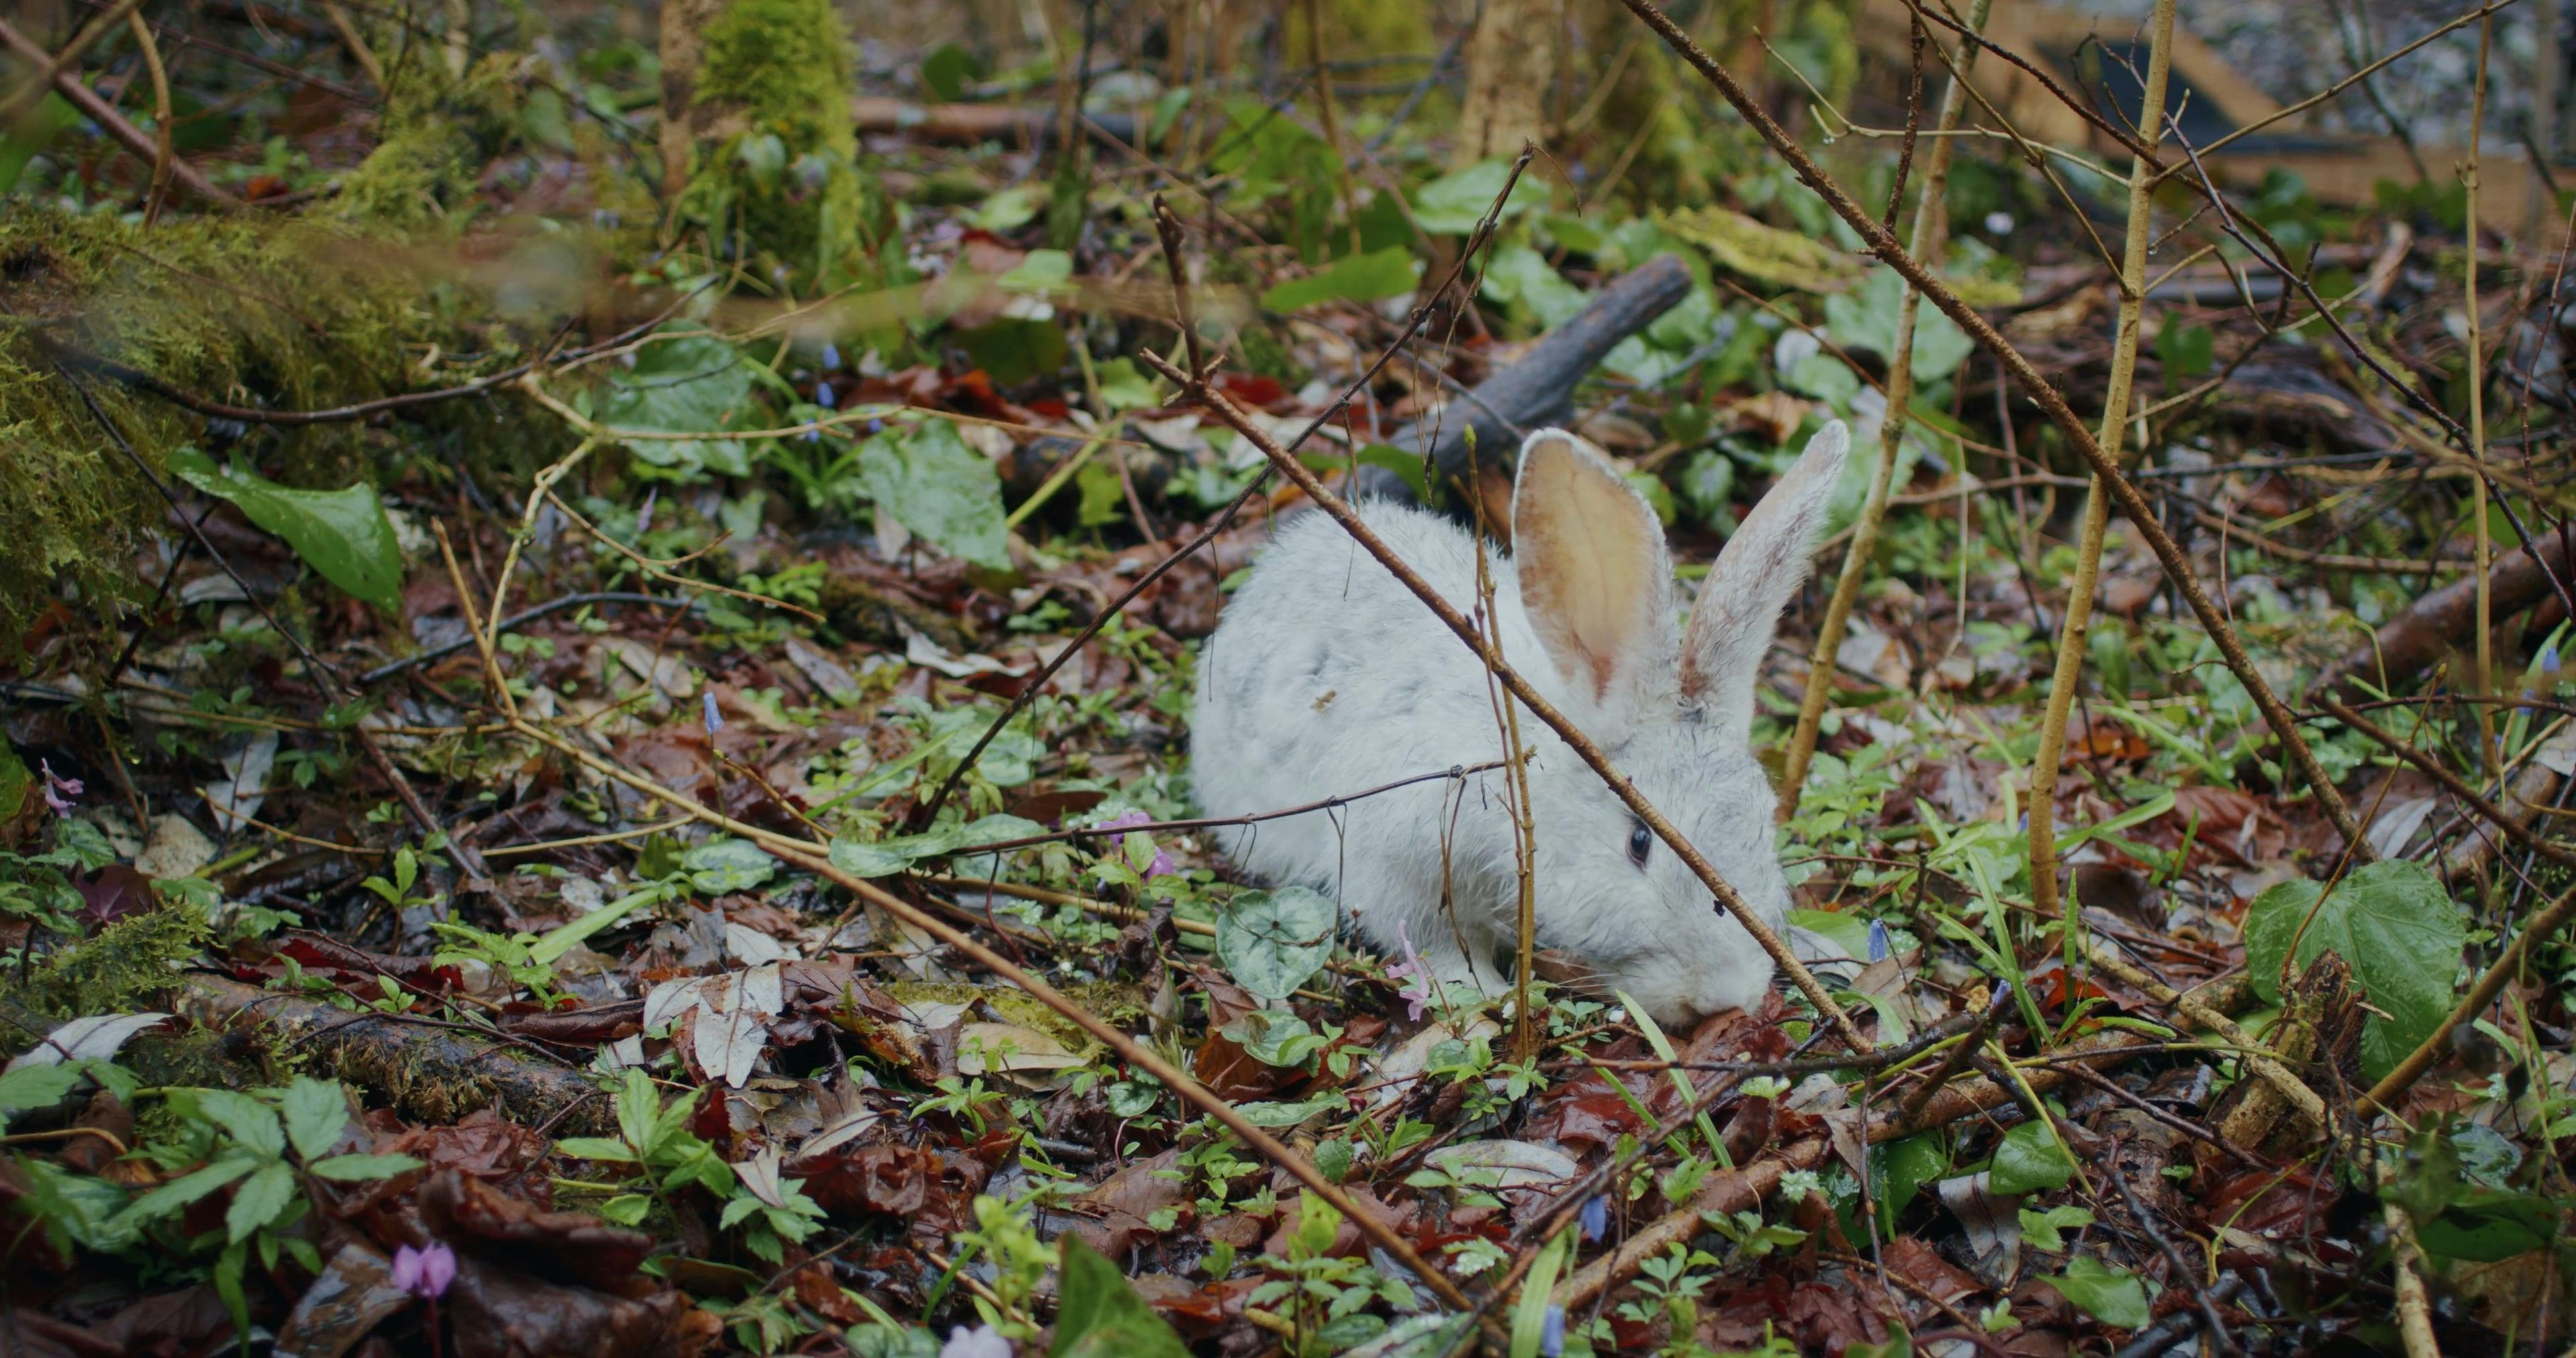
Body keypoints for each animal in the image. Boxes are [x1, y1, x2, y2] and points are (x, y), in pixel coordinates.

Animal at [1189, 420, 1849, 1026]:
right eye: (1639, 843)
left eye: (1765, 827)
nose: (1725, 995)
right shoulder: (1400, 852)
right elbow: (1430, 935)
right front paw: (1482, 990)